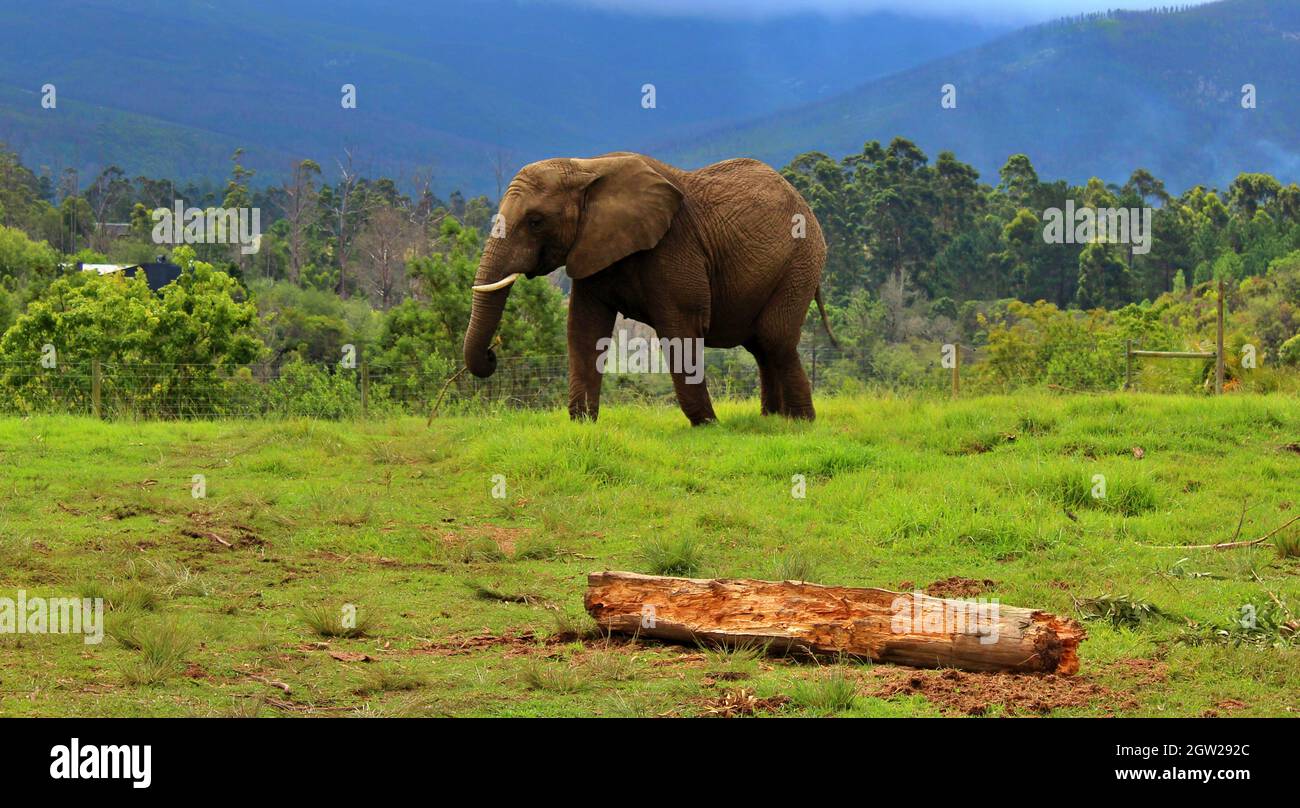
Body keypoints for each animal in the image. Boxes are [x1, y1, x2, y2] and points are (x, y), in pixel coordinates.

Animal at [462, 152, 834, 425]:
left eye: (536, 221)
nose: (492, 354)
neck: (587, 167)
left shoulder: (675, 245)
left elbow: (681, 328)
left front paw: (708, 425)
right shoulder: (591, 248)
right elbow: (584, 329)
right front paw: (582, 423)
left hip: (801, 260)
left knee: (774, 338)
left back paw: (801, 423)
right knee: (761, 346)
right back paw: (773, 420)